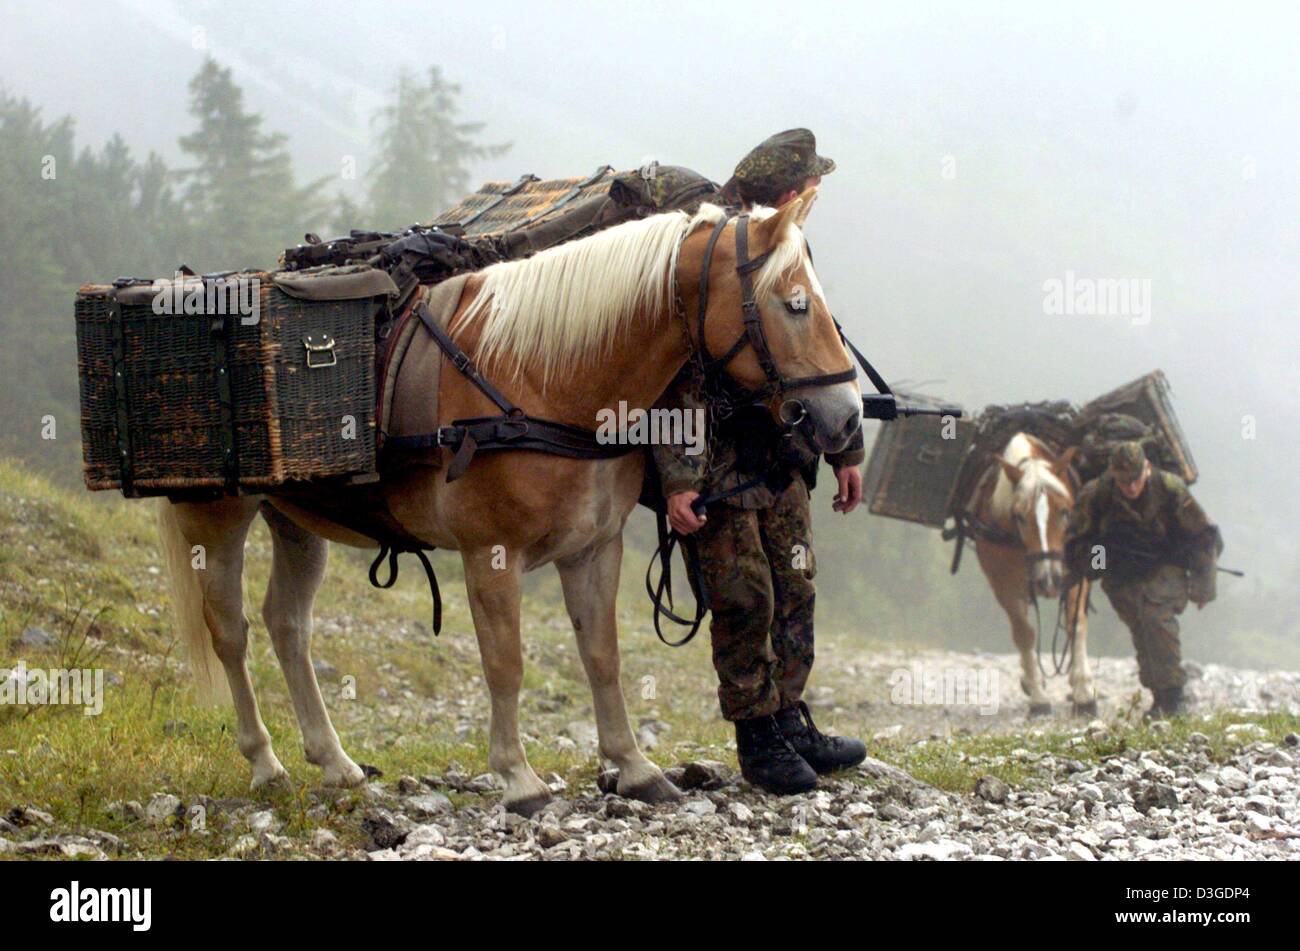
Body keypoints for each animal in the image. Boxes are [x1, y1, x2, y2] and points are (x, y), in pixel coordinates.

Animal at [156, 187, 863, 814]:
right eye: (795, 304)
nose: (848, 417)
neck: (545, 379)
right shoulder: (490, 557)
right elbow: (506, 664)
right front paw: (518, 779)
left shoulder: (593, 552)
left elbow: (602, 658)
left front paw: (634, 768)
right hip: (217, 515)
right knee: (231, 633)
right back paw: (266, 763)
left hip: (297, 522)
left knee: (287, 626)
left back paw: (334, 762)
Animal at [969, 433, 1096, 716]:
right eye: (1019, 516)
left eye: (1065, 511)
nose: (1049, 581)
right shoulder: (1003, 582)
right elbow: (1024, 633)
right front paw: (1038, 697)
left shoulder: (1077, 572)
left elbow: (1077, 624)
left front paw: (1083, 692)